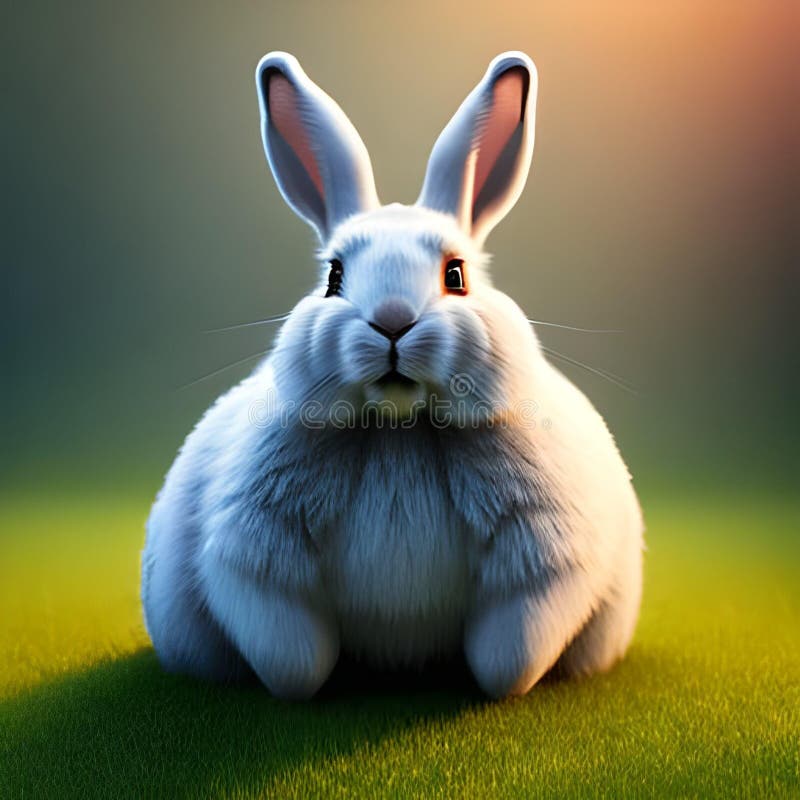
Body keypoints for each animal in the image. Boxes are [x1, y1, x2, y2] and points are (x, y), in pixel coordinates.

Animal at [141, 50, 643, 700]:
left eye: (456, 275)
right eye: (334, 276)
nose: (393, 322)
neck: (398, 426)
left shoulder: (544, 549)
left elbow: (512, 650)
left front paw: (494, 683)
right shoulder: (252, 549)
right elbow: (291, 657)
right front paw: (309, 685)